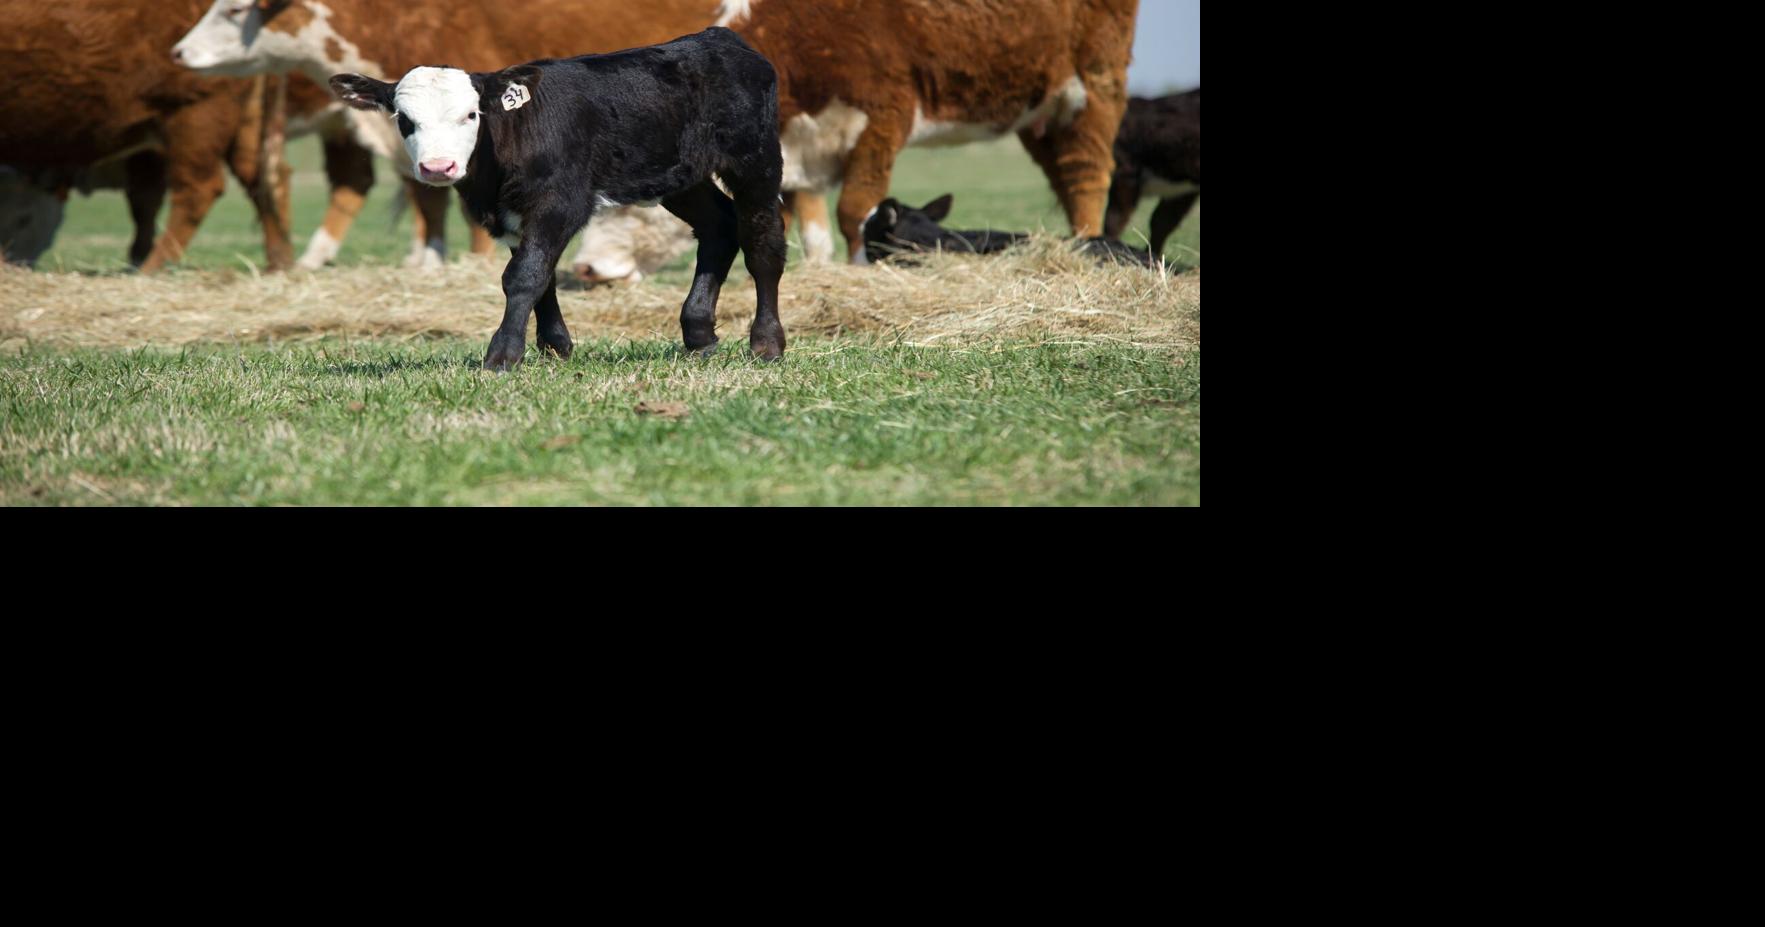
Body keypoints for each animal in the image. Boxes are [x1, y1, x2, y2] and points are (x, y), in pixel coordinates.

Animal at [172, 0, 731, 270]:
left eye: (235, 10)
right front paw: (431, 260)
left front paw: (458, 260)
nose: (179, 53)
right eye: (403, 118)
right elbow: (430, 198)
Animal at [330, 27, 789, 369]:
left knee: (762, 243)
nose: (438, 167)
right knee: (719, 227)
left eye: (471, 114)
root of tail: (717, 37)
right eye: (404, 119)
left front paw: (502, 355)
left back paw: (766, 343)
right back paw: (699, 334)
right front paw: (555, 347)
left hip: (756, 159)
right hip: (680, 176)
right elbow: (540, 274)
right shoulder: (513, 214)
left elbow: (523, 275)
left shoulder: (560, 201)